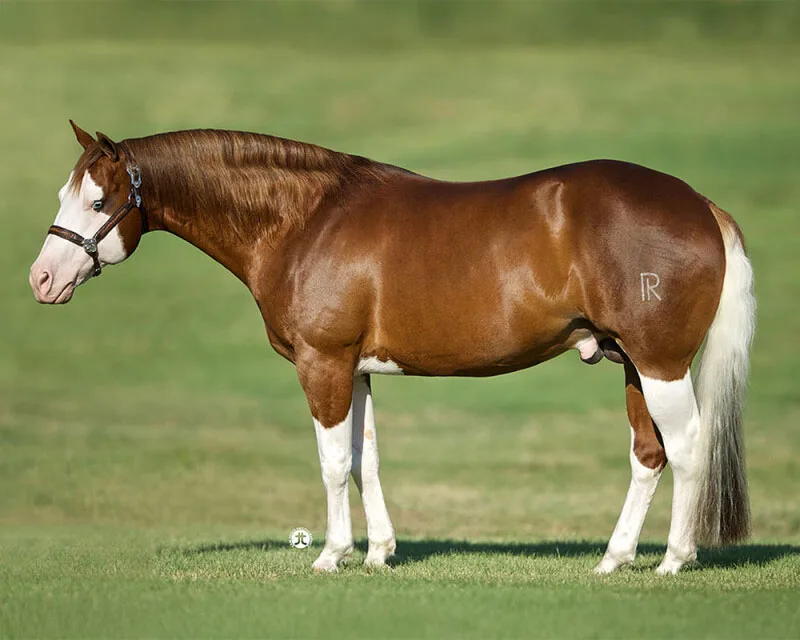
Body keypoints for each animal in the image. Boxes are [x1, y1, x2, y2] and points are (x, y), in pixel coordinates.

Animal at [30, 121, 755, 574]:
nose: (41, 279)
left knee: (686, 449)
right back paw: (613, 558)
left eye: (100, 201)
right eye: (66, 193)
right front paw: (378, 550)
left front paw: (331, 555)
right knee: (648, 455)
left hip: (659, 365)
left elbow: (331, 463)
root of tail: (699, 204)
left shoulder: (322, 363)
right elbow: (364, 459)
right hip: (631, 364)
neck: (306, 219)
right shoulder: (355, 370)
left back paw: (672, 560)